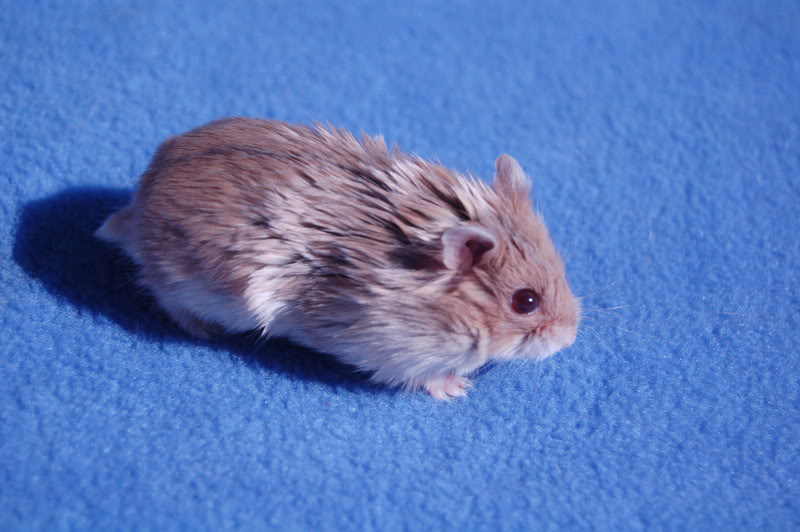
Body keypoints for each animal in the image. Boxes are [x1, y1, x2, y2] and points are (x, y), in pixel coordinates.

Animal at [96, 117, 581, 399]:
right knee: (163, 295)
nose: (571, 338)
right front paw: (458, 388)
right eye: (526, 302)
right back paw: (204, 332)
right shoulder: (392, 349)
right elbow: (422, 376)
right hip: (184, 282)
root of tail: (137, 206)